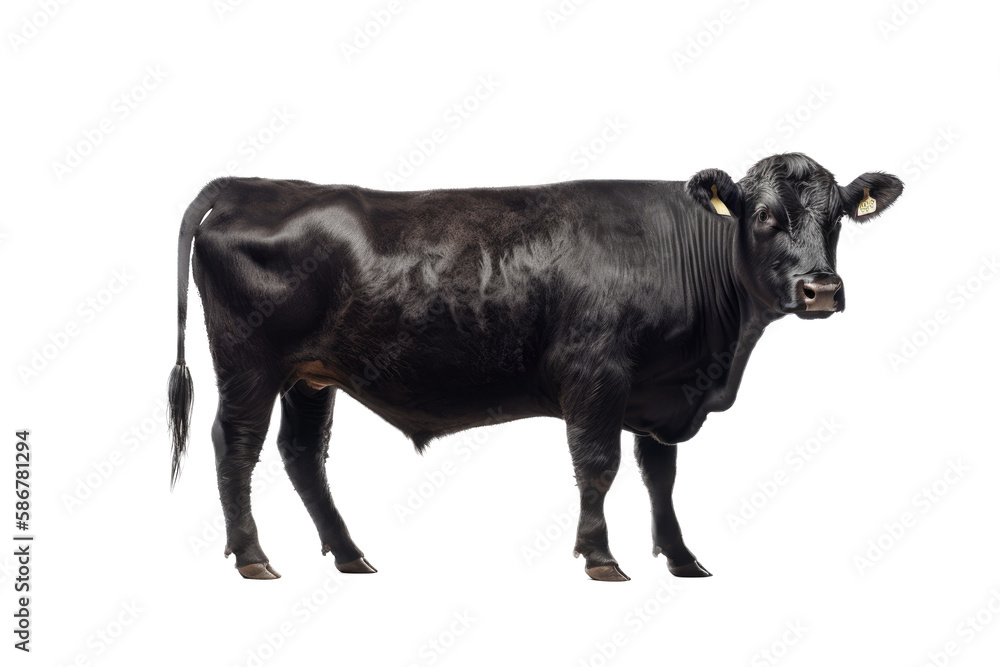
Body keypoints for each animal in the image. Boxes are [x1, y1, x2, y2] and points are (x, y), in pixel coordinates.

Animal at [168, 153, 903, 581]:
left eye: (838, 218)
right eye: (766, 217)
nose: (822, 290)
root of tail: (249, 186)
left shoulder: (658, 392)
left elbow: (659, 475)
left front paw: (682, 557)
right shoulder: (596, 375)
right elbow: (598, 466)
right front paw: (601, 556)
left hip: (311, 374)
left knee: (301, 454)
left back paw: (350, 554)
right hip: (249, 363)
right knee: (236, 445)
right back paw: (253, 556)